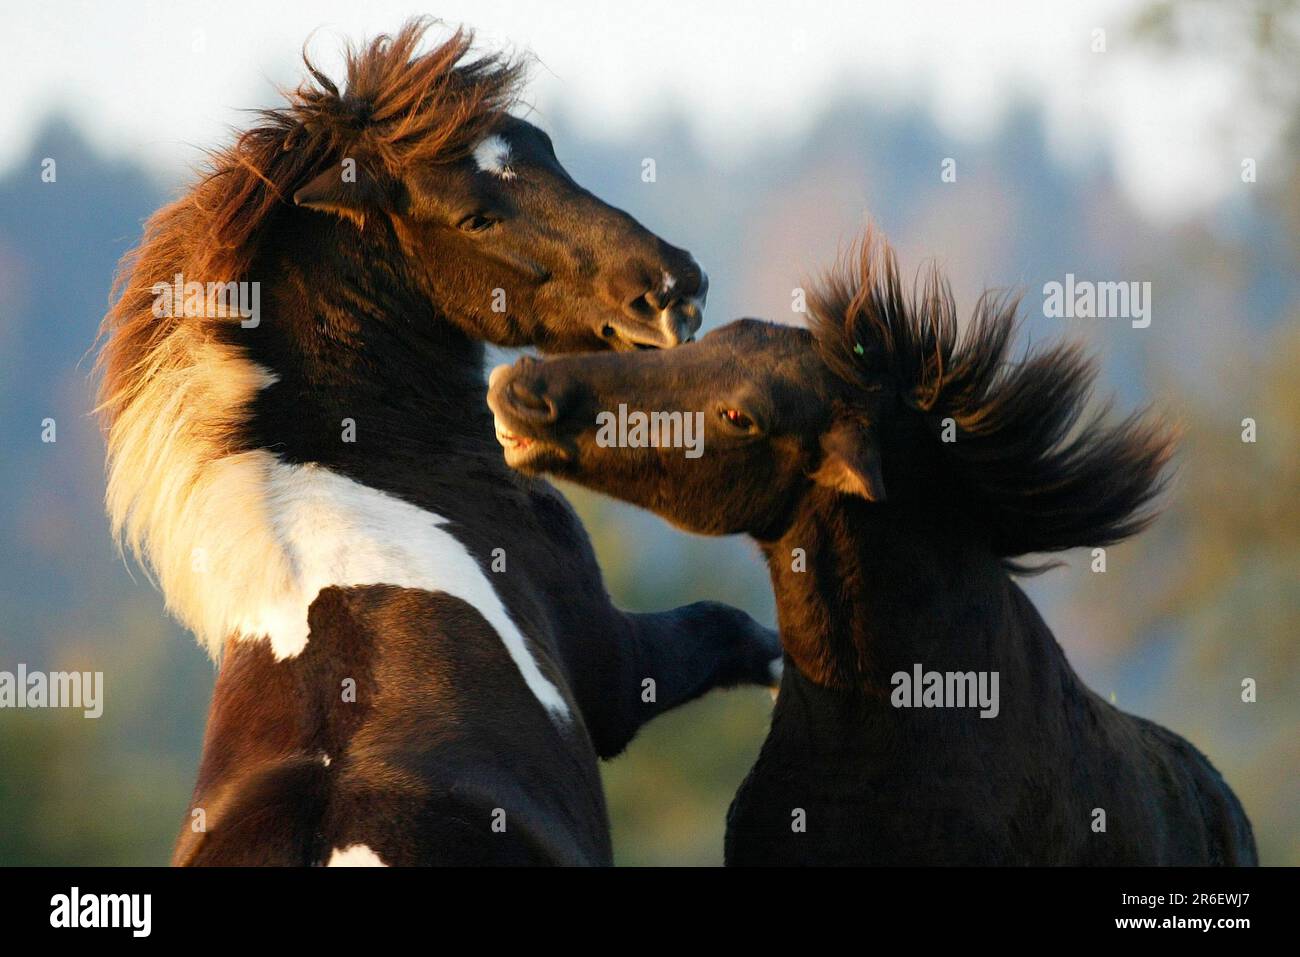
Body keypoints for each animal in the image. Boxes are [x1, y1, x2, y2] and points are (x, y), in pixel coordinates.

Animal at [95, 19, 779, 866]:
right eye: (475, 217)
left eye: (548, 152)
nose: (672, 291)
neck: (367, 469)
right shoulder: (621, 670)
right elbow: (735, 627)